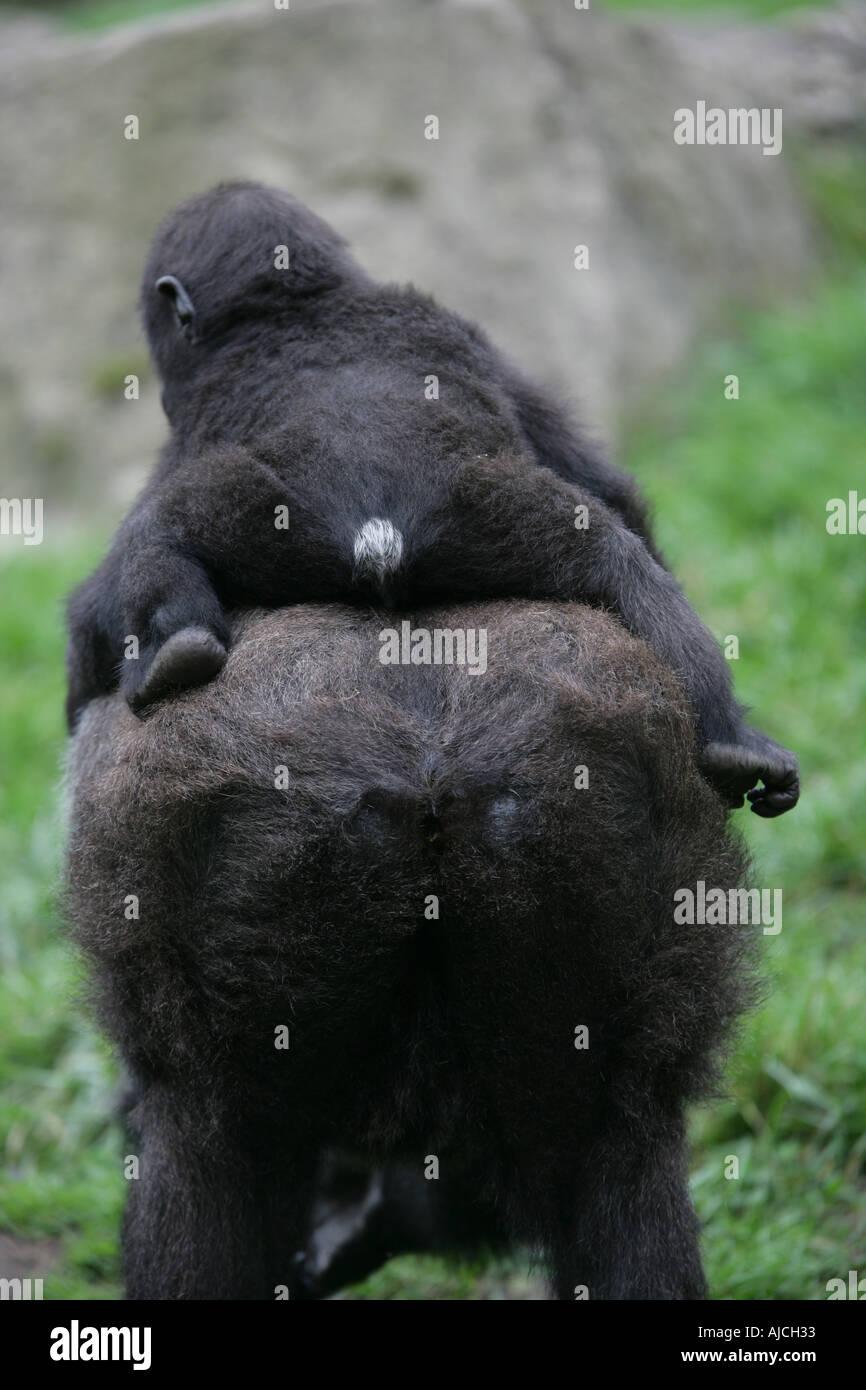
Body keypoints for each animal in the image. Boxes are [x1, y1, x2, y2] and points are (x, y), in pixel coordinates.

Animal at [65, 181, 798, 819]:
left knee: (159, 535)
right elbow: (604, 484)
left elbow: (96, 602)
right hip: (487, 512)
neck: (292, 308)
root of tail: (377, 533)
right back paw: (735, 744)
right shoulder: (471, 337)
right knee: (622, 570)